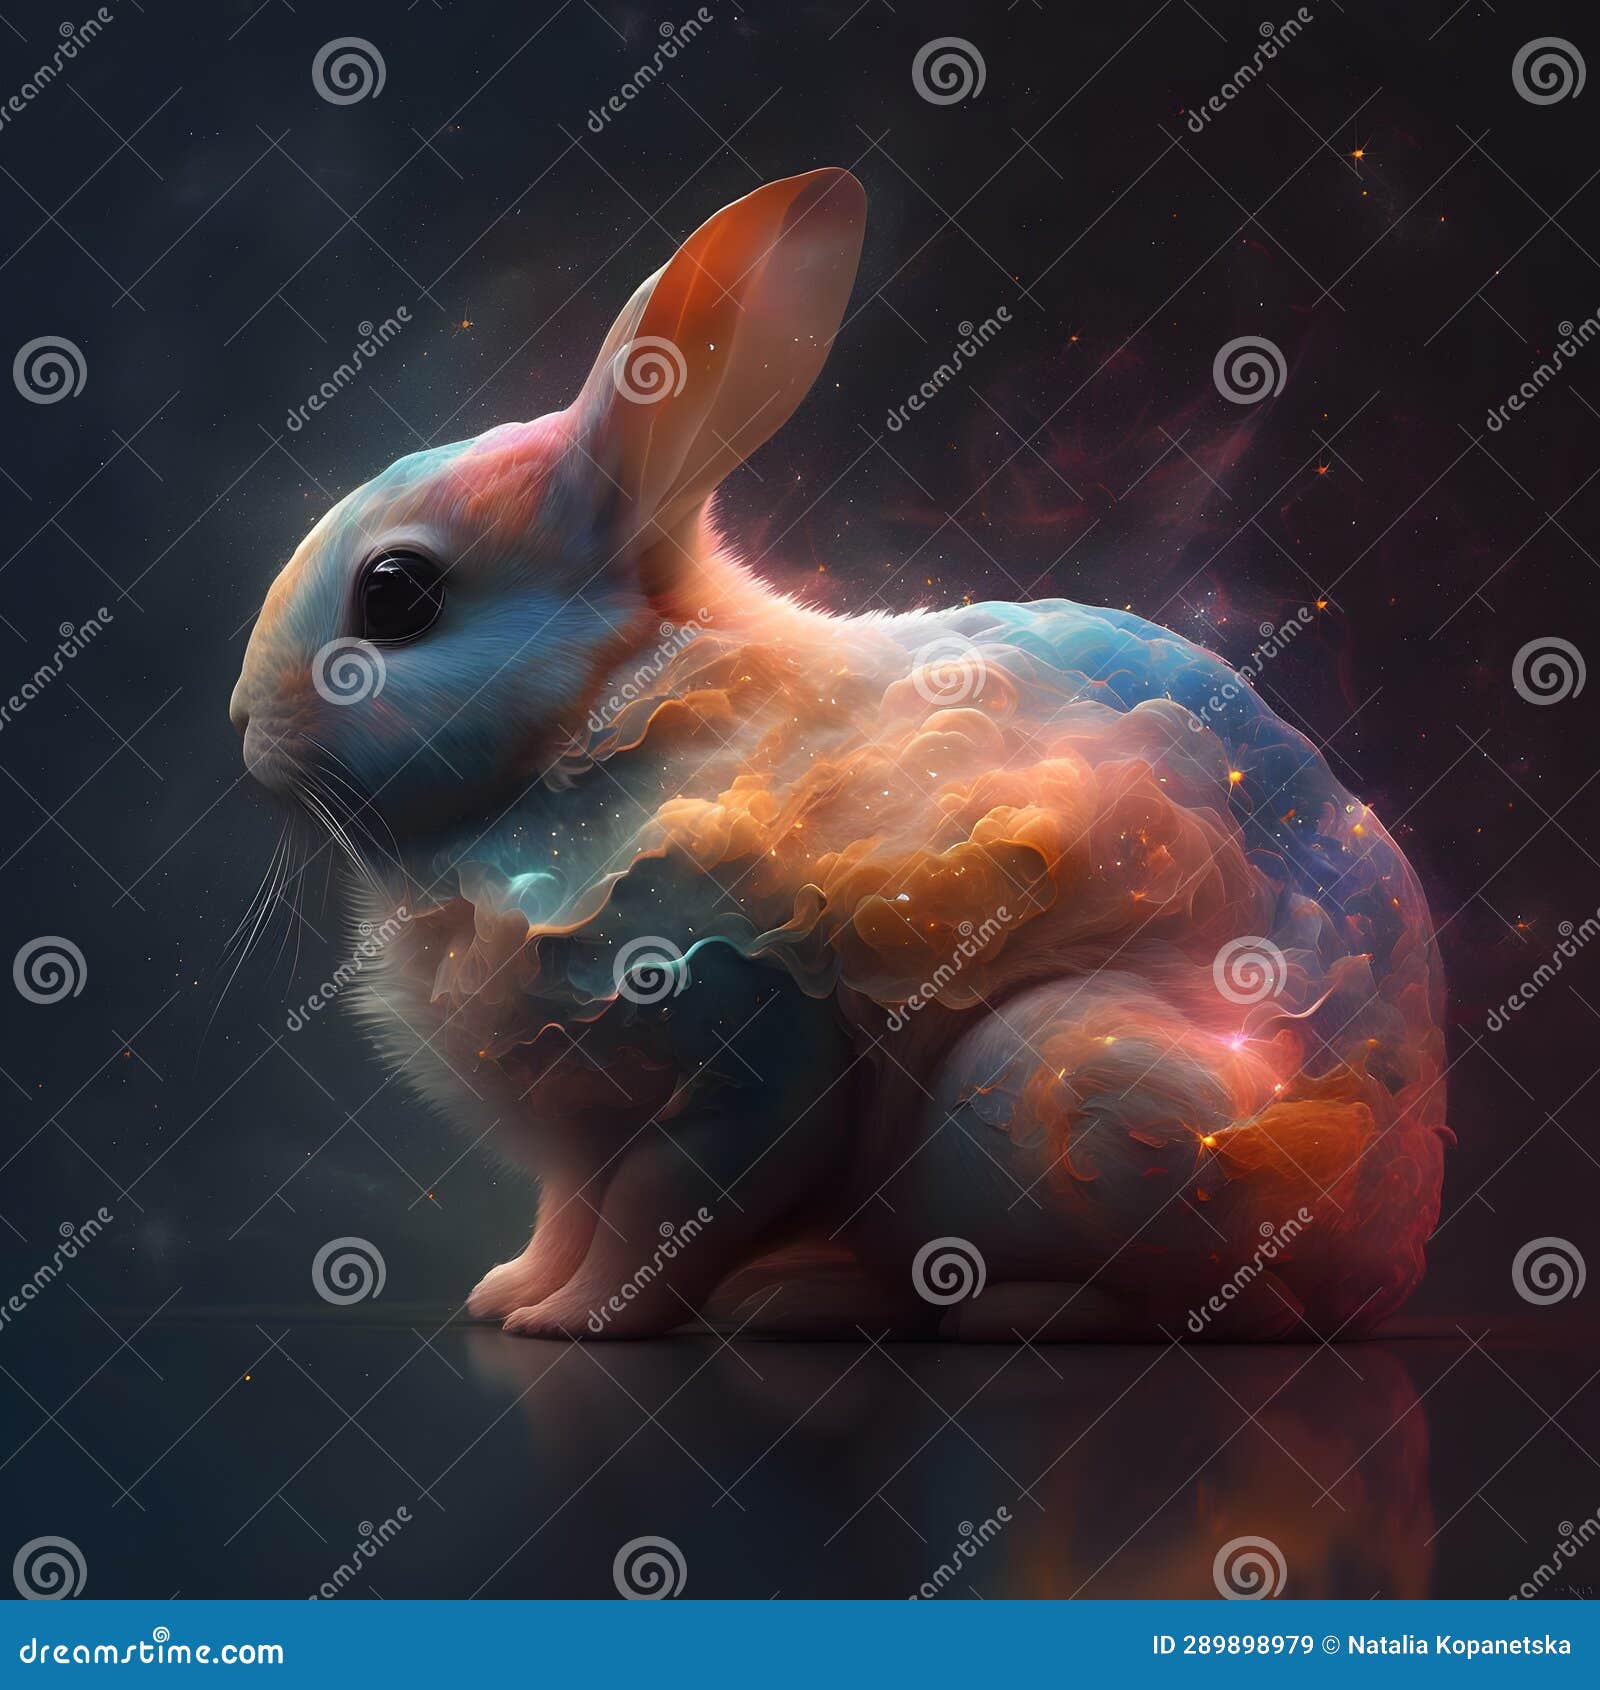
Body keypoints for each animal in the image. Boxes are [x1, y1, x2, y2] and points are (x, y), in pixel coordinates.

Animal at [230, 168, 1450, 1340]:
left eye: (397, 595)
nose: (243, 727)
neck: (602, 716)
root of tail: (1389, 1246)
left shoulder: (750, 1054)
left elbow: (657, 1210)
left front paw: (579, 1324)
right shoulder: (578, 1132)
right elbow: (567, 1213)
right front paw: (509, 1297)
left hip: (1066, 1088)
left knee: (1219, 1300)